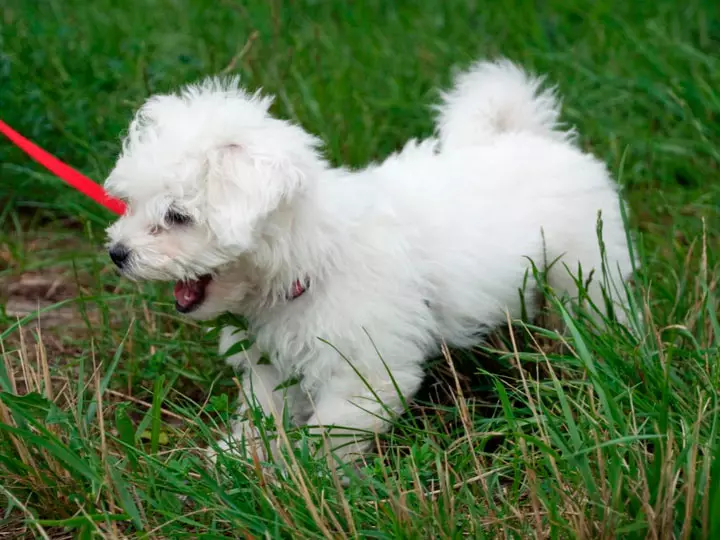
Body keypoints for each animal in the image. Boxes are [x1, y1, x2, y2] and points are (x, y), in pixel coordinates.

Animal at [104, 59, 632, 464]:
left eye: (177, 216)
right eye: (132, 204)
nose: (117, 254)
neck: (313, 255)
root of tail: (529, 136)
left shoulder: (365, 374)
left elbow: (329, 434)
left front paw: (306, 476)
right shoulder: (272, 365)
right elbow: (263, 414)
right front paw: (236, 459)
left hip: (587, 270)